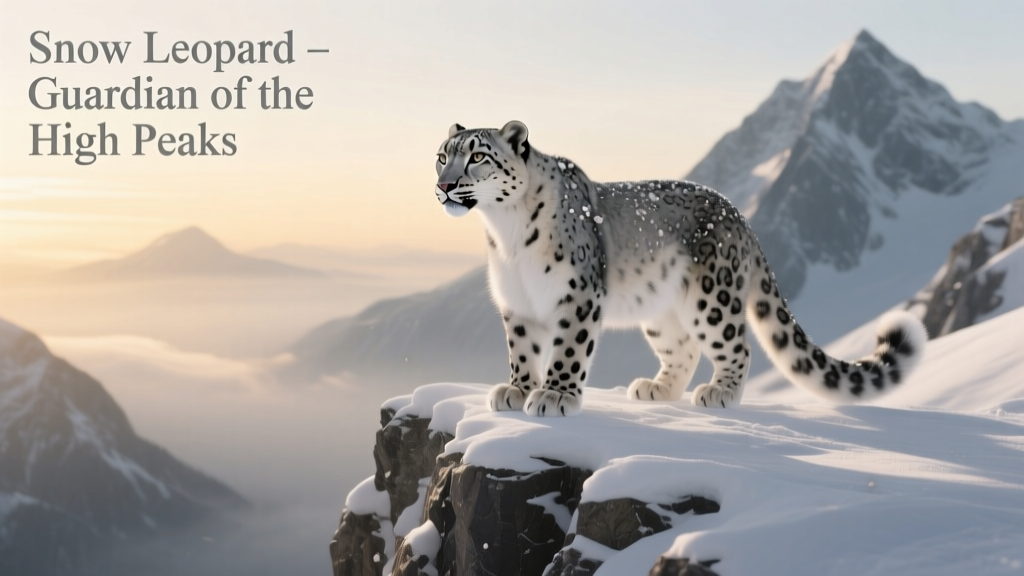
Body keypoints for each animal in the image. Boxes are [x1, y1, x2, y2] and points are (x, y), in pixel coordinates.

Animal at [434, 121, 927, 416]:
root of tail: (739, 214)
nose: (445, 185)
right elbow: (522, 350)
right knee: (683, 349)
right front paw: (515, 390)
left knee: (736, 347)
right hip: (661, 310)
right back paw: (656, 389)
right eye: (442, 155)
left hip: (713, 298)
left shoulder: (577, 295)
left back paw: (720, 393)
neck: (507, 232)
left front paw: (554, 395)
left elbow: (568, 350)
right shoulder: (517, 302)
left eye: (478, 156)